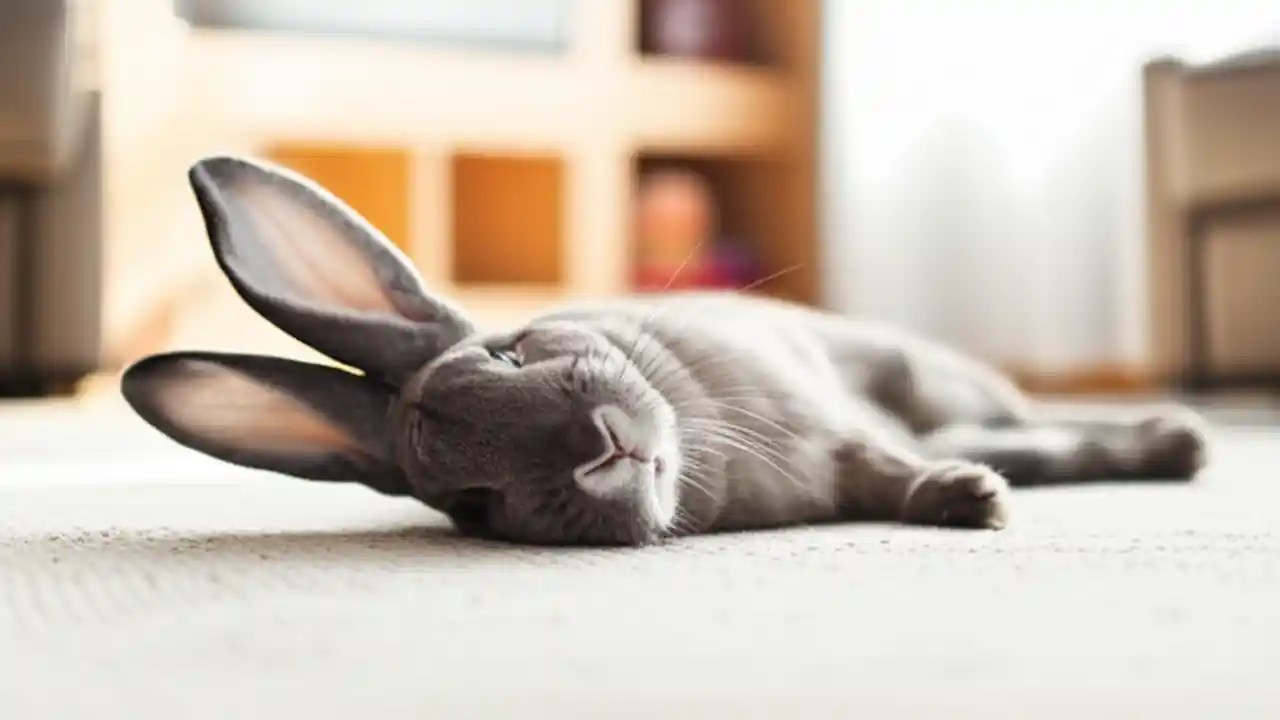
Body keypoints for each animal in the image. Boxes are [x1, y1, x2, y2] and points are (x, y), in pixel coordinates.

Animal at [121, 156, 1210, 546]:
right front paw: (968, 500)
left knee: (1042, 422)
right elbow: (888, 477)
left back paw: (1183, 441)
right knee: (1036, 440)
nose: (598, 449)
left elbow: (883, 463)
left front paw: (970, 502)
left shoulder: (831, 425)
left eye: (510, 354)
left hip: (929, 377)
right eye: (472, 505)